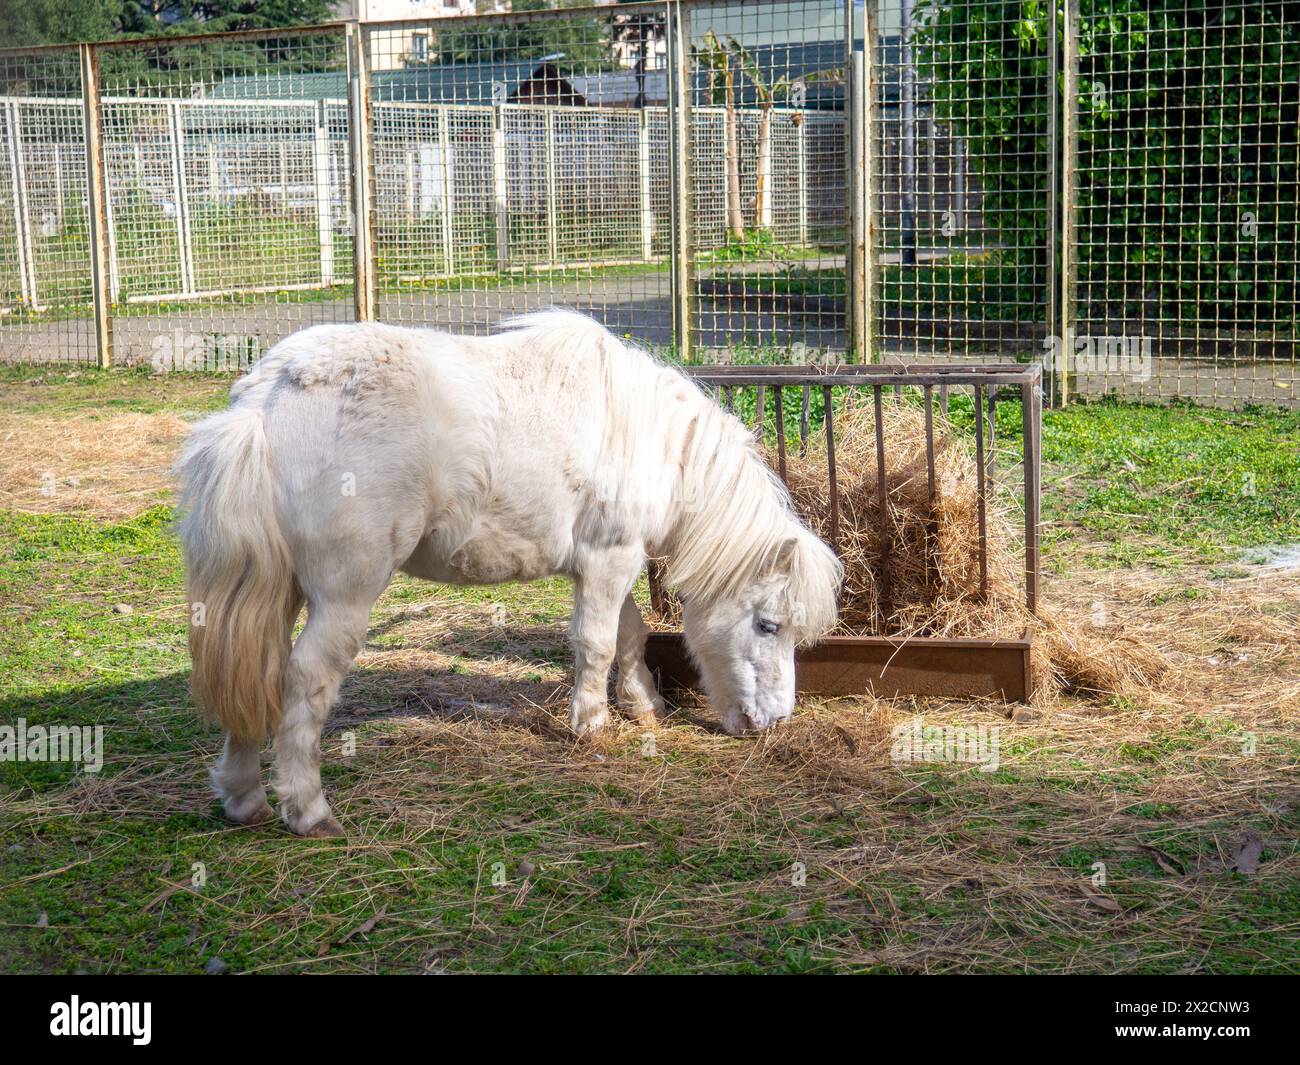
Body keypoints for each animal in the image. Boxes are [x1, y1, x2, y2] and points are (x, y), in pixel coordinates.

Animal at [177, 310, 841, 836]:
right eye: (768, 625)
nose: (775, 721)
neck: (654, 442)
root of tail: (266, 400)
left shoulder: (608, 562)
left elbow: (630, 636)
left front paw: (643, 706)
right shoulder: (609, 560)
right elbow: (597, 645)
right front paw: (592, 726)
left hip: (276, 590)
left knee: (256, 675)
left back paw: (244, 797)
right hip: (344, 596)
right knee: (304, 680)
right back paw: (309, 811)